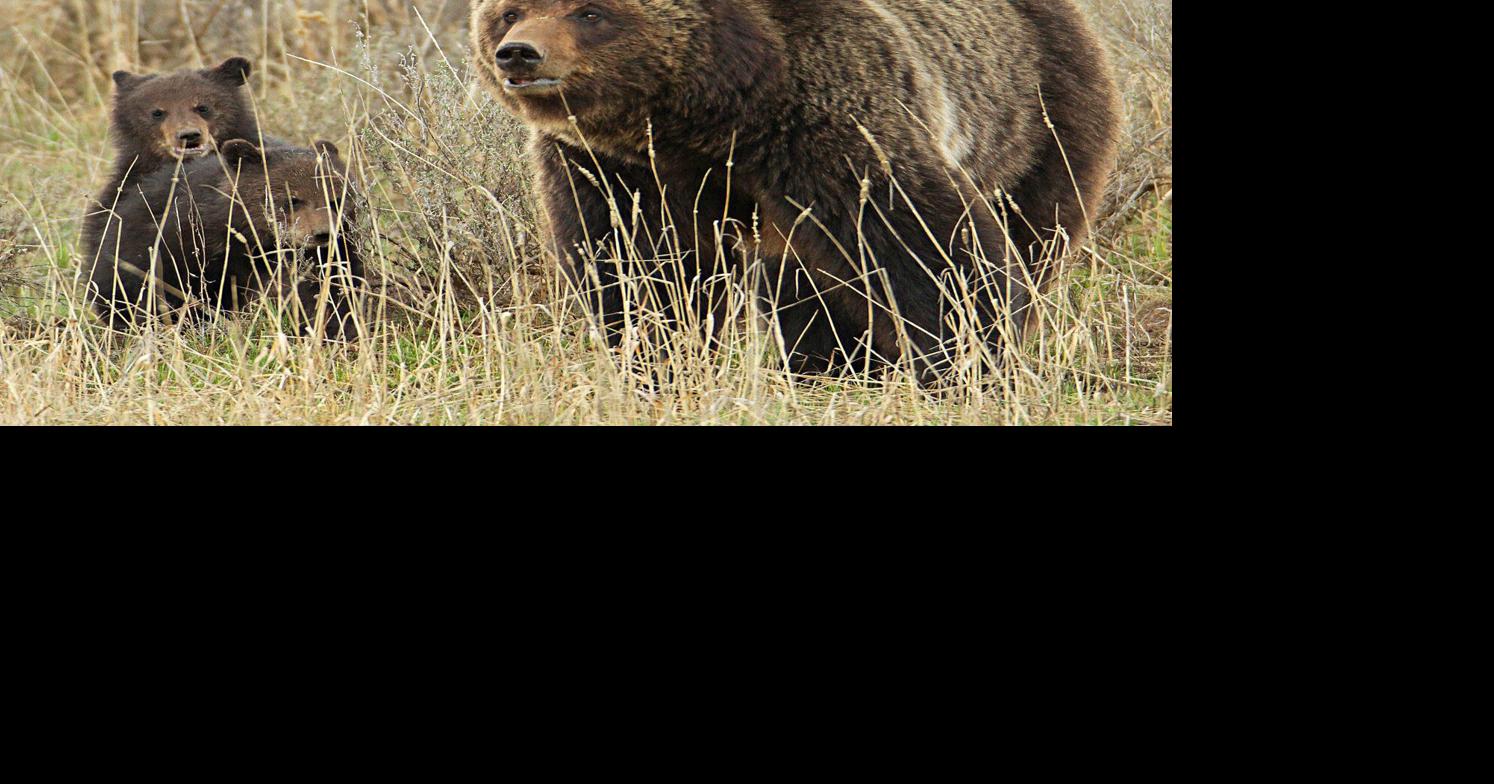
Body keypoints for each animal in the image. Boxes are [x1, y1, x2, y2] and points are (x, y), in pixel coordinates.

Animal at [470, 0, 1120, 379]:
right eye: (510, 9)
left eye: (589, 11)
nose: (519, 53)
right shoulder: (610, 166)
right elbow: (639, 267)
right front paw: (658, 359)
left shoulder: (822, 120)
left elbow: (925, 243)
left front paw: (966, 359)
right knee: (805, 288)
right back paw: (827, 363)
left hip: (1036, 115)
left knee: (1034, 228)